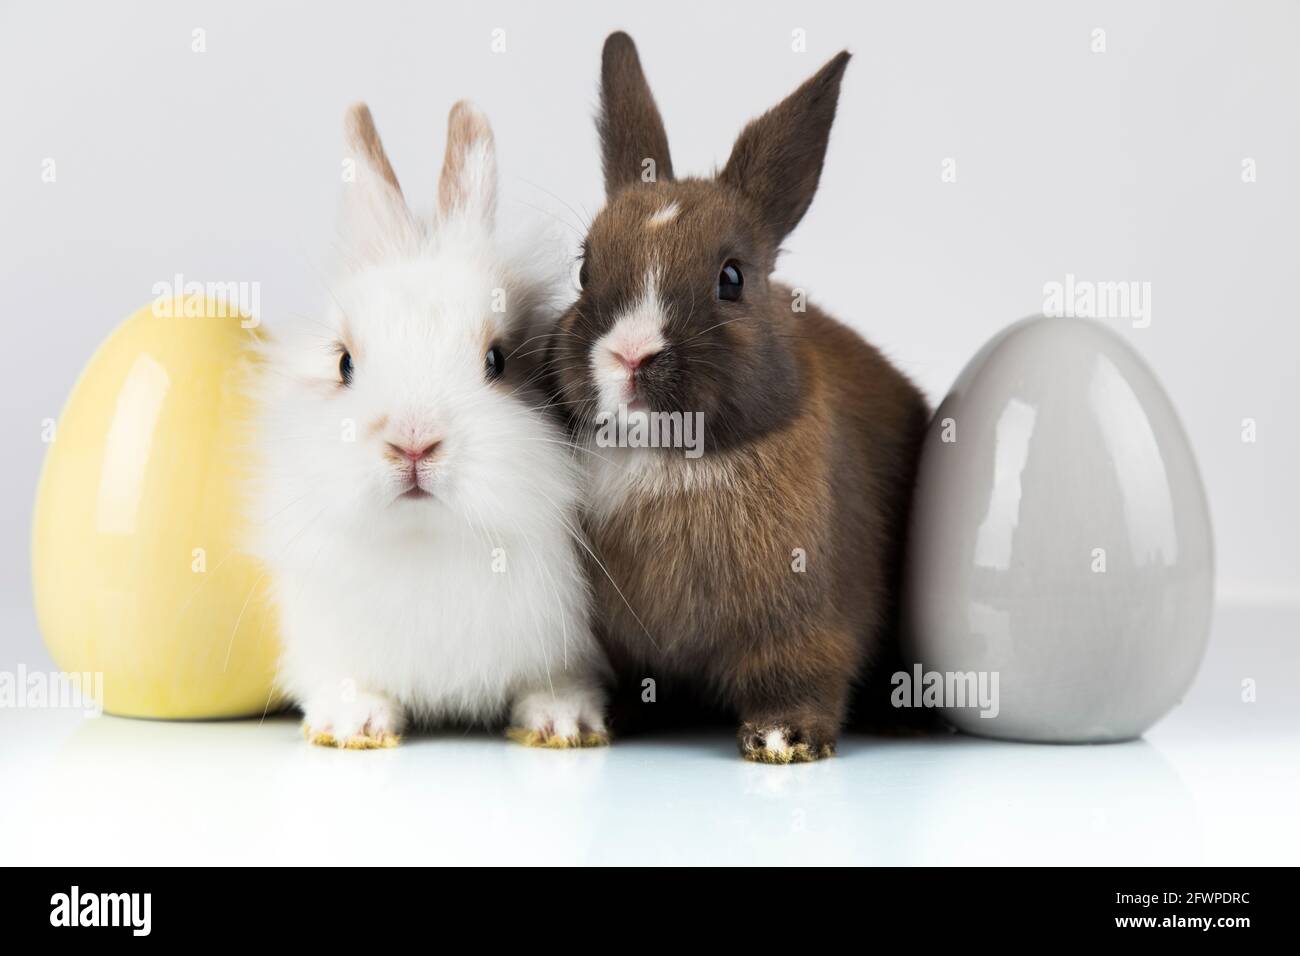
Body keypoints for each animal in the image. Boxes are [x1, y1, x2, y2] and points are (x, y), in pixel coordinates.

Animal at [247, 101, 608, 749]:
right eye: (344, 364)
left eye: (497, 360)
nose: (413, 443)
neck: (427, 541)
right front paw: (354, 723)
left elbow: (558, 681)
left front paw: (563, 723)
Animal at [546, 33, 930, 763]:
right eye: (583, 268)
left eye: (732, 278)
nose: (629, 354)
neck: (670, 462)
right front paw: (586, 723)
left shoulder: (807, 626)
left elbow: (801, 680)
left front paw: (782, 740)